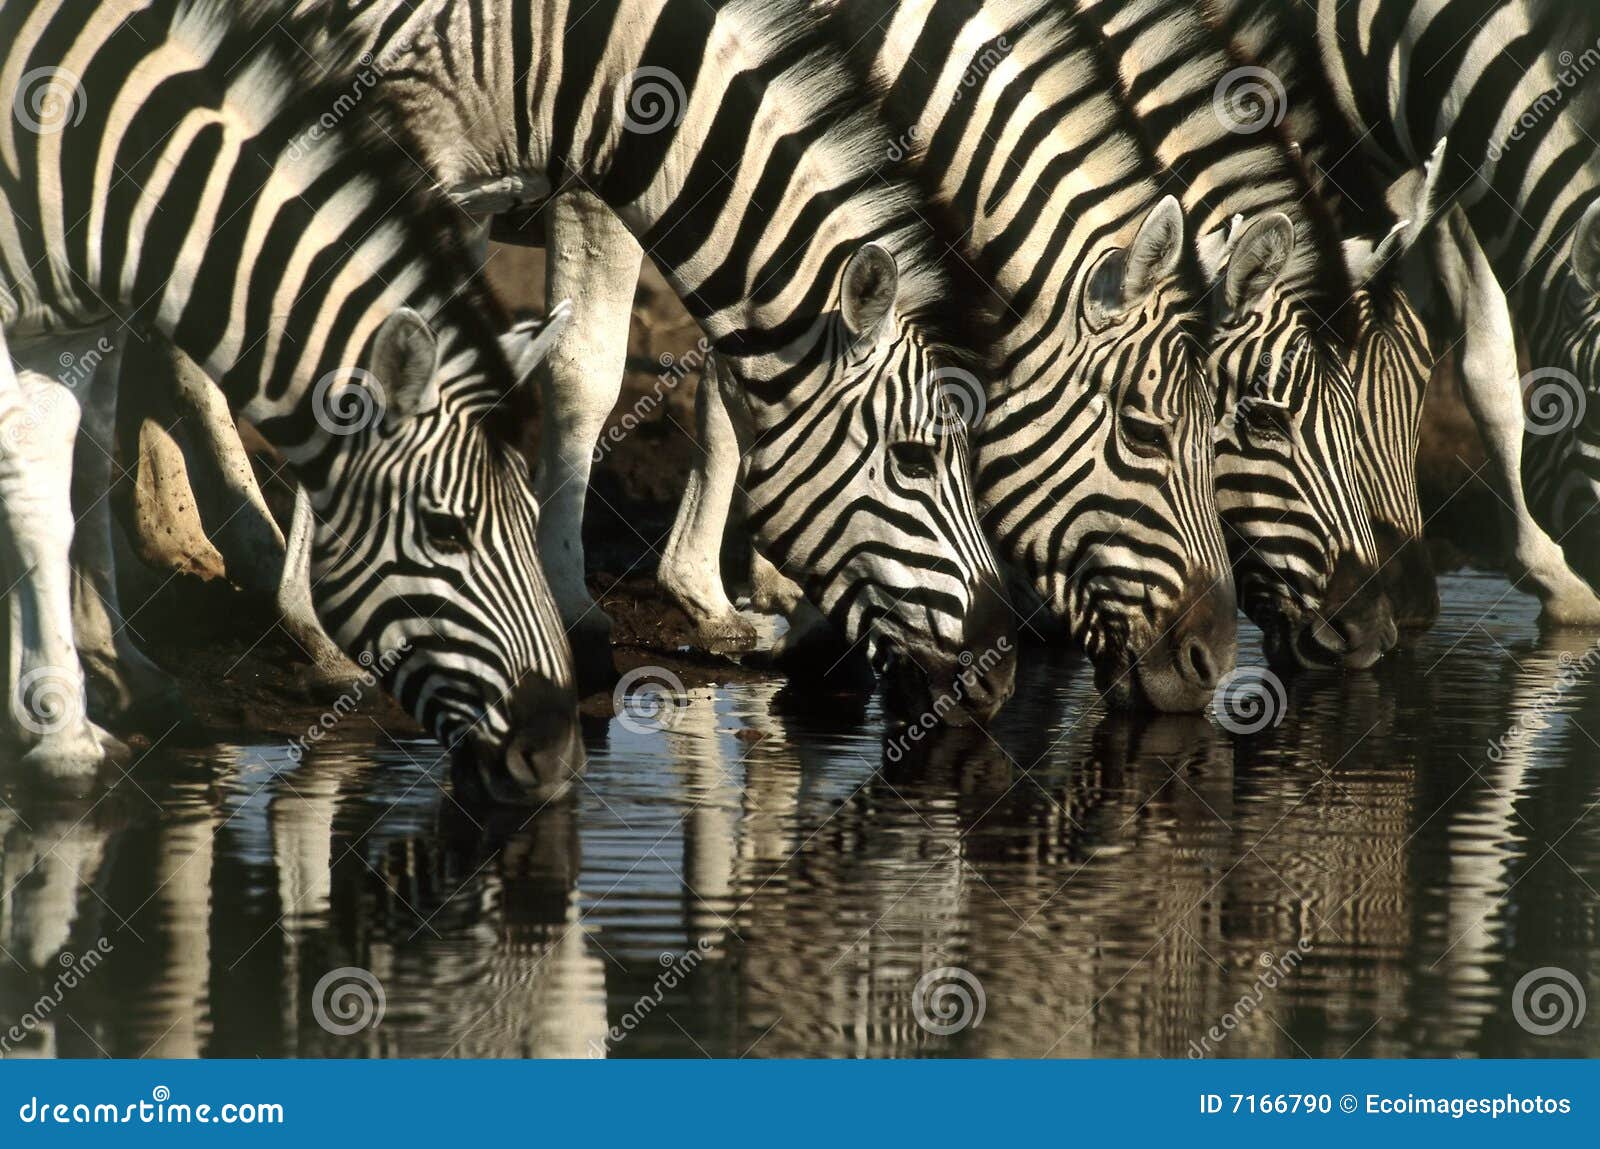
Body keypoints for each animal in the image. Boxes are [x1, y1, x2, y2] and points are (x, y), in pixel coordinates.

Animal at [1, 0, 581, 798]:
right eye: (446, 531)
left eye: (531, 515)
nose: (555, 754)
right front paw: (63, 736)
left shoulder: (60, 330)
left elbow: (50, 498)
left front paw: (51, 713)